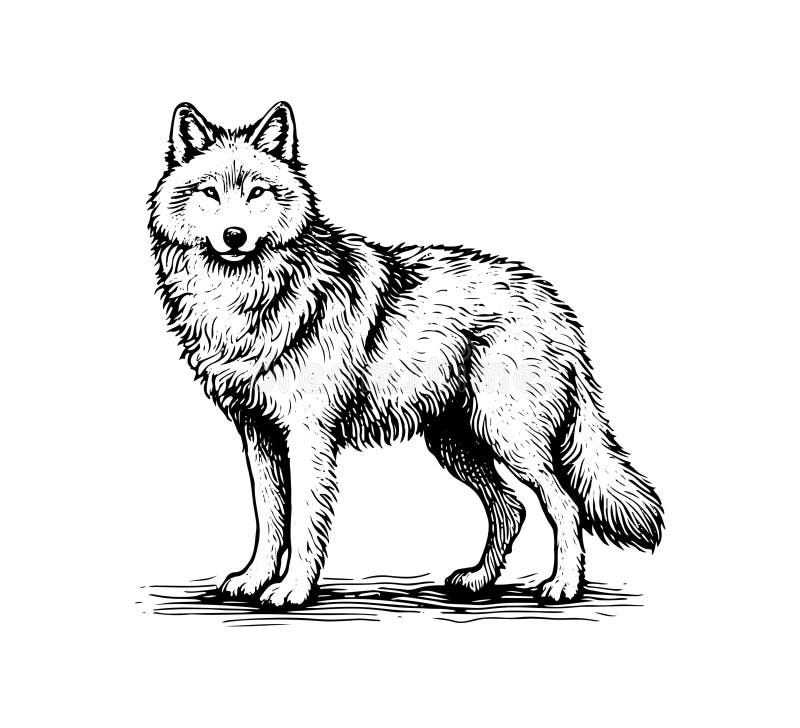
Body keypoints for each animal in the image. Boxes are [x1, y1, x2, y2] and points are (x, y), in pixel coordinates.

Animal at [147, 101, 663, 608]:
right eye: (210, 193)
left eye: (257, 193)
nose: (234, 235)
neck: (245, 296)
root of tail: (555, 303)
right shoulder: (257, 434)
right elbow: (270, 518)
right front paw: (254, 580)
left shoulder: (308, 436)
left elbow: (305, 521)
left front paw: (292, 590)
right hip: (458, 444)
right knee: (510, 508)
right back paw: (478, 580)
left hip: (509, 439)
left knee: (564, 505)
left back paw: (563, 586)